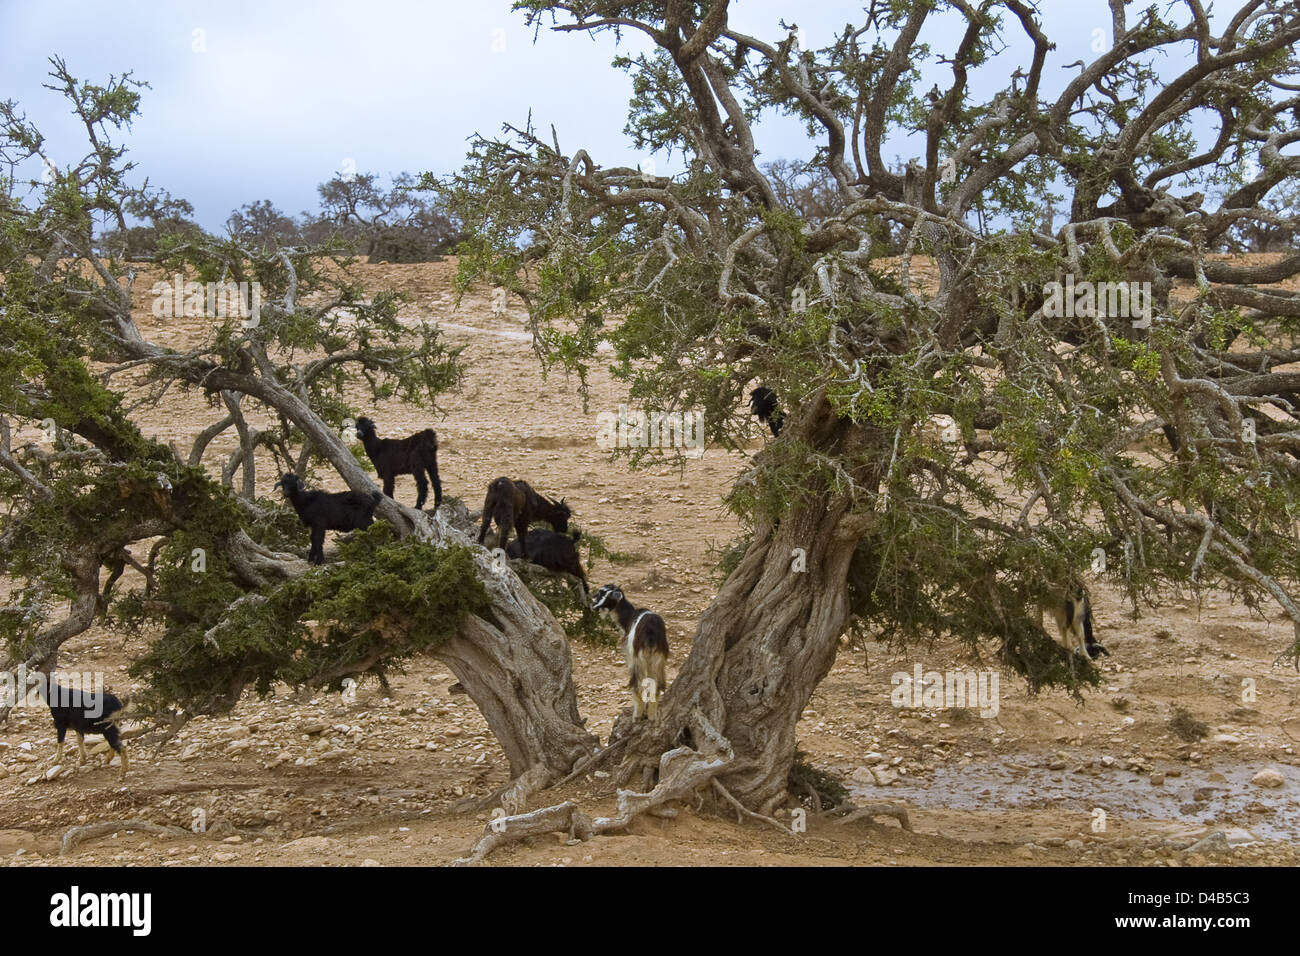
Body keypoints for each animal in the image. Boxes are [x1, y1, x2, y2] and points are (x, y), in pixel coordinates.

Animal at [590, 584, 669, 720]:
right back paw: (652, 715)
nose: (593, 605)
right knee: (656, 684)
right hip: (658, 658)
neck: (629, 618)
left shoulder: (631, 656)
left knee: (637, 684)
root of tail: (651, 631)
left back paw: (637, 715)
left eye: (606, 596)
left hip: (638, 658)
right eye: (600, 592)